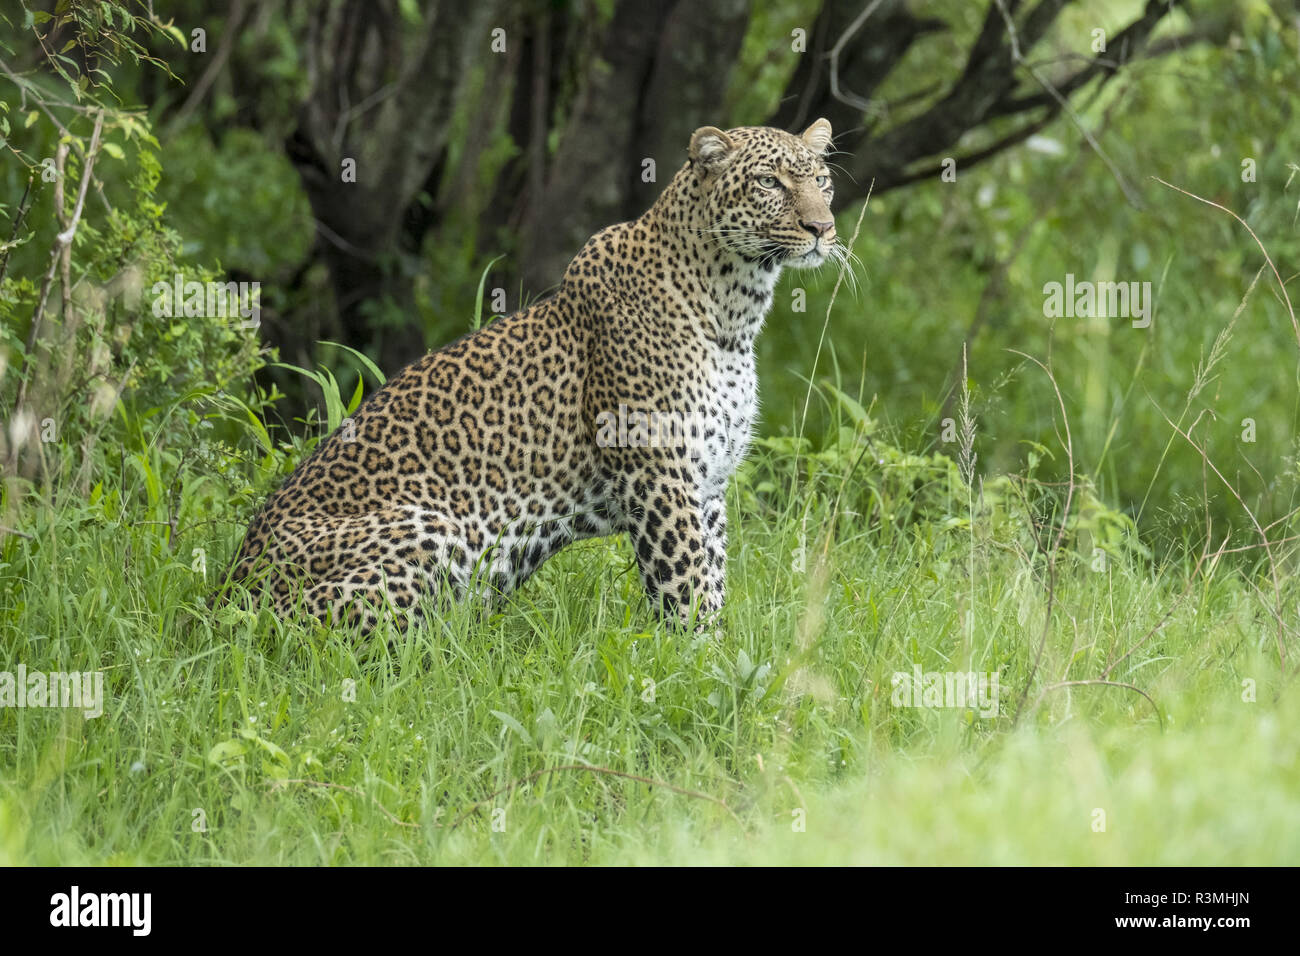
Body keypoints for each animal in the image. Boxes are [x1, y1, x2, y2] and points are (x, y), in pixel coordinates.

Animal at [223, 118, 841, 632]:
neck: (736, 310)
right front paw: (701, 667)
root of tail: (223, 594)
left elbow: (713, 577)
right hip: (430, 532)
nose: (822, 227)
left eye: (822, 180)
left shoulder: (708, 484)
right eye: (769, 183)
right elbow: (686, 586)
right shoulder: (659, 474)